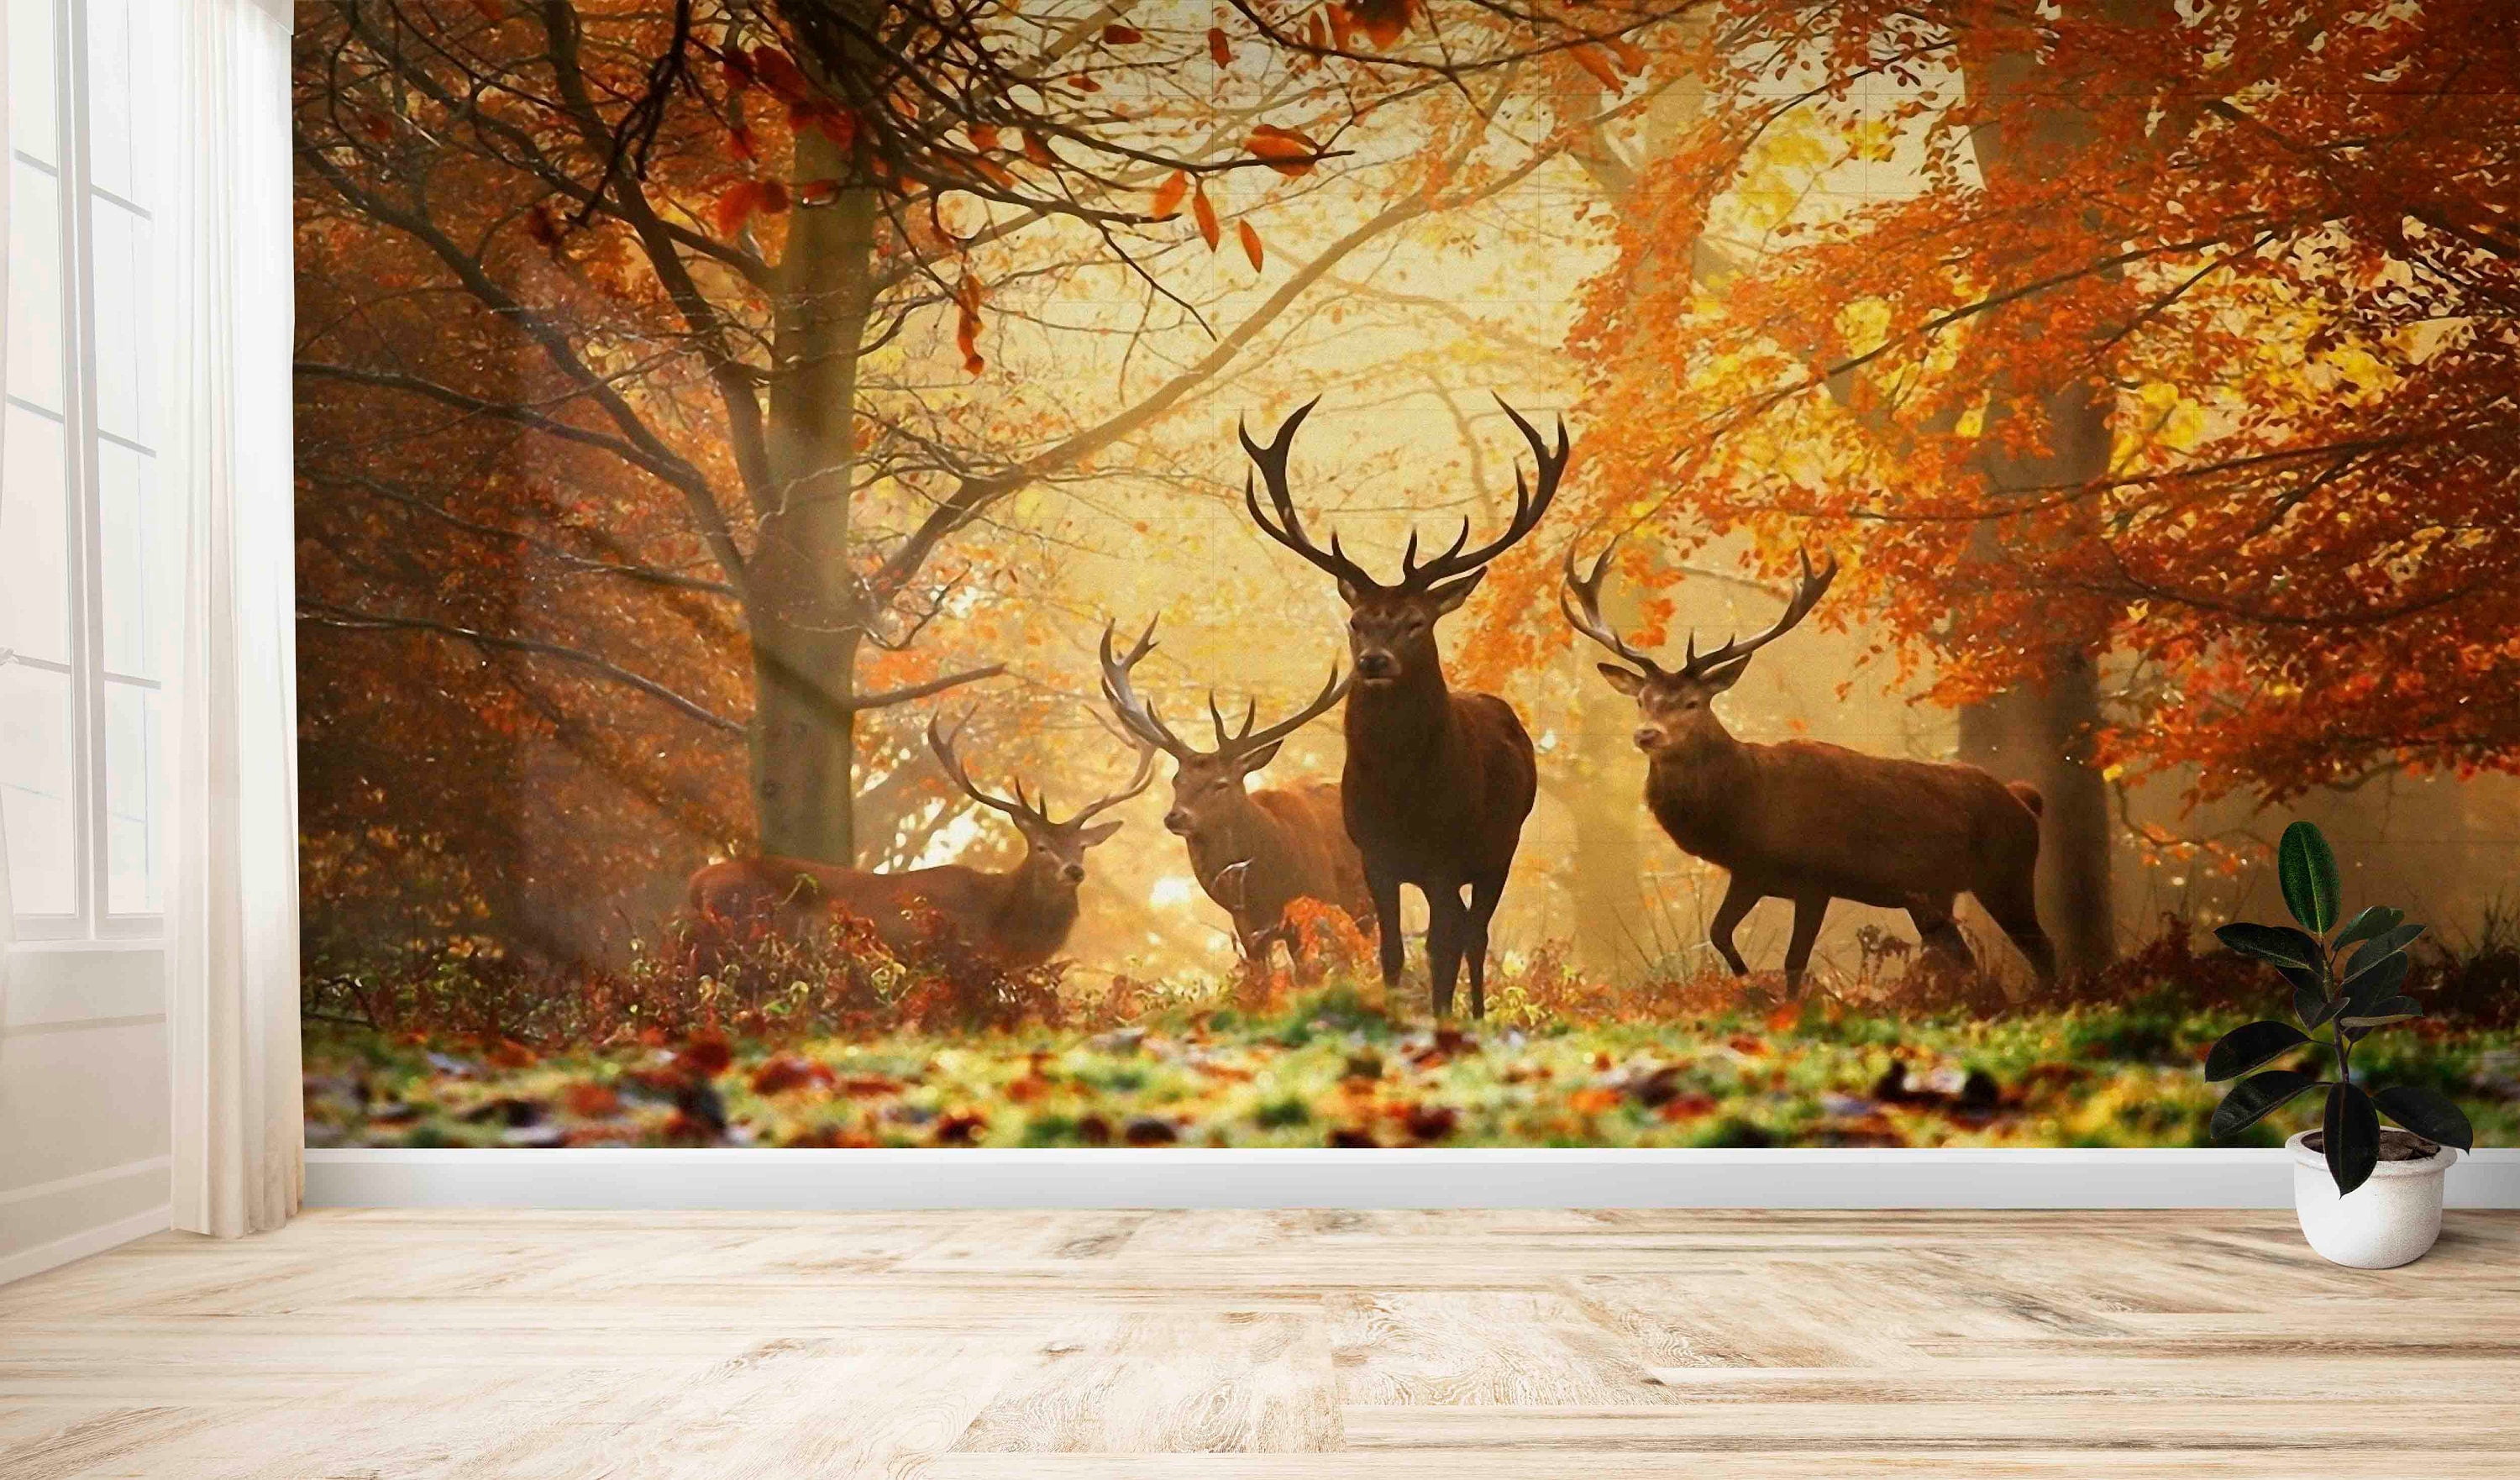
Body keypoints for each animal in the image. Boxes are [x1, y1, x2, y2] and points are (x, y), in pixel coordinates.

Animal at [686, 715, 1155, 974]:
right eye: (1040, 846)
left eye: (1082, 846)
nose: (1074, 870)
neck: (1005, 929)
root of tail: (697, 883)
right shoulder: (950, 960)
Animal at [1097, 618, 1372, 977]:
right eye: (1176, 780)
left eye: (1221, 783)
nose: (1176, 816)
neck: (1266, 885)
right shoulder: (1248, 929)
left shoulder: (1318, 902)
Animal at [1241, 397, 1568, 1019]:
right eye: (1356, 621)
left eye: (1417, 622)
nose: (1374, 661)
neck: (1402, 797)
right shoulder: (1376, 856)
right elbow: (1392, 950)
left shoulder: (1445, 854)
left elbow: (1442, 946)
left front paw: (1442, 1019)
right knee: (1462, 931)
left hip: (1500, 848)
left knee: (1473, 934)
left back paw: (1478, 1015)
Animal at [1560, 536, 2056, 995]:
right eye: (1641, 700)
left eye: (1692, 702)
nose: (1646, 735)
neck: (1748, 809)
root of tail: (2025, 801)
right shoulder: (1751, 873)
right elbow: (1719, 934)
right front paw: (1748, 984)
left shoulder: (1816, 877)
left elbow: (1794, 962)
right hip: (1931, 896)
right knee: (1965, 957)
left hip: (2007, 873)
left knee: (2042, 948)